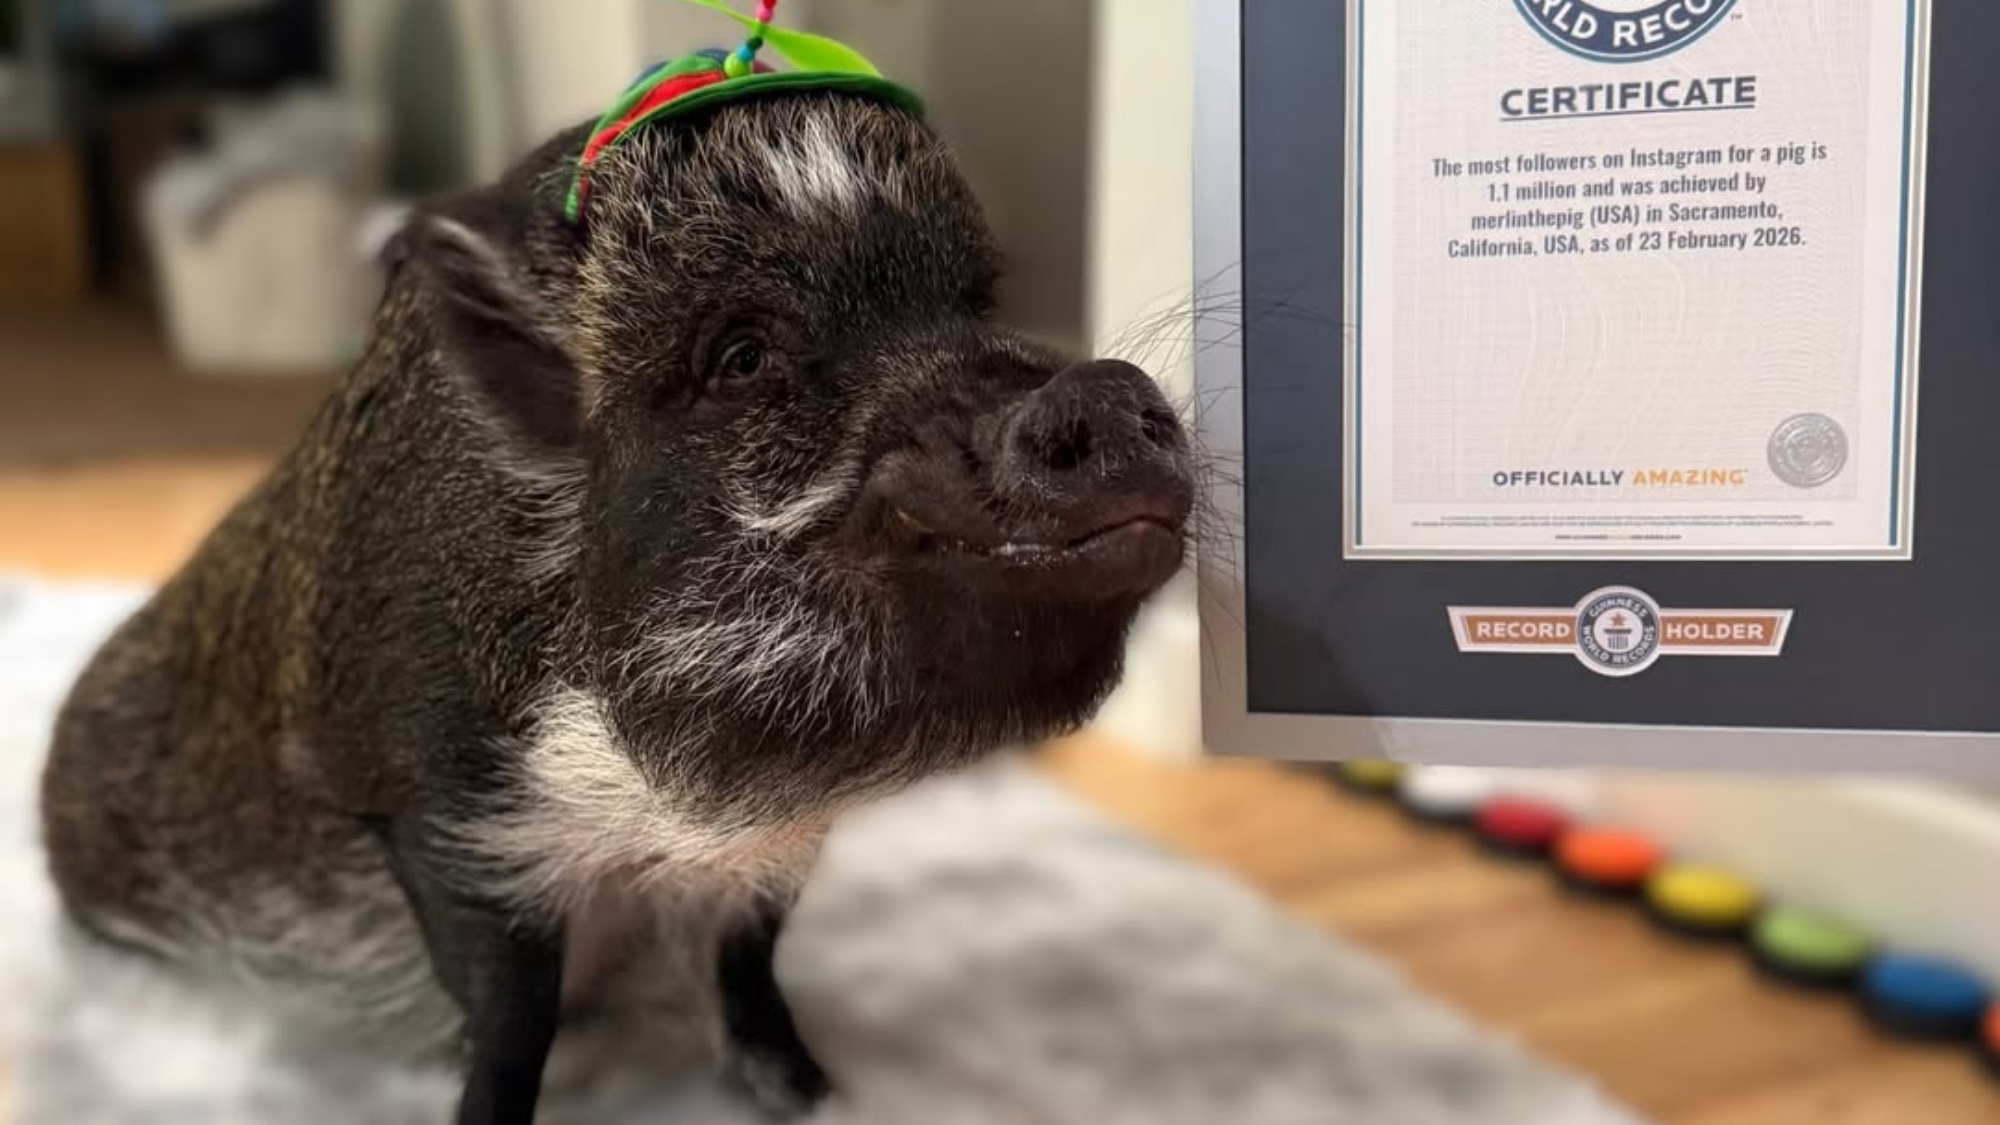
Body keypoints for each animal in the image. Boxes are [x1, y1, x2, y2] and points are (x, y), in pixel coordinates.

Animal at [40, 89, 1193, 1125]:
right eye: (740, 358)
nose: (1102, 388)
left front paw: (817, 1097)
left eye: (976, 301)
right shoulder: (442, 809)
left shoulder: (766, 854)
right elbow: (514, 1019)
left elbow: (748, 972)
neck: (665, 817)